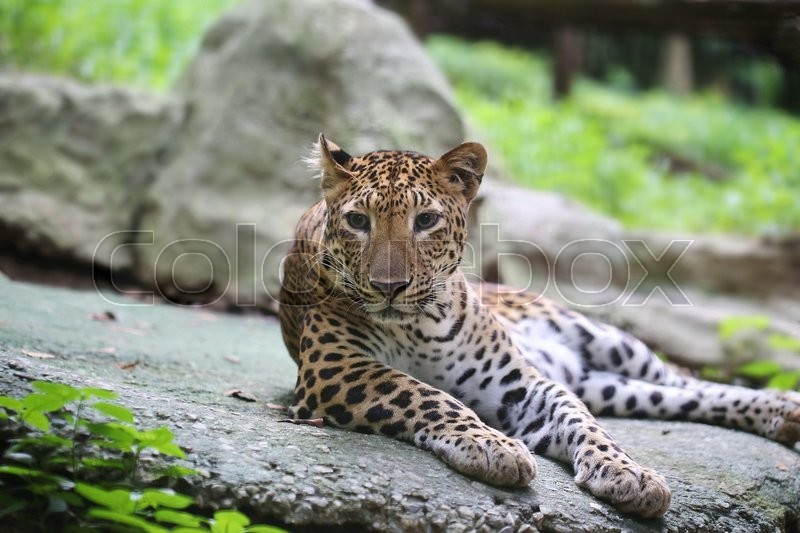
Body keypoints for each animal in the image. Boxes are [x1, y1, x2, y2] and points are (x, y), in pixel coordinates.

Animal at [278, 135, 800, 518]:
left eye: (425, 220)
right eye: (357, 221)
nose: (389, 287)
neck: (418, 325)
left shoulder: (522, 384)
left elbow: (584, 424)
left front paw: (628, 473)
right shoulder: (336, 369)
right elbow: (422, 392)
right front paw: (490, 445)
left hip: (610, 343)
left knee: (685, 380)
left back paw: (784, 406)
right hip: (611, 386)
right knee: (675, 396)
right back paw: (785, 416)